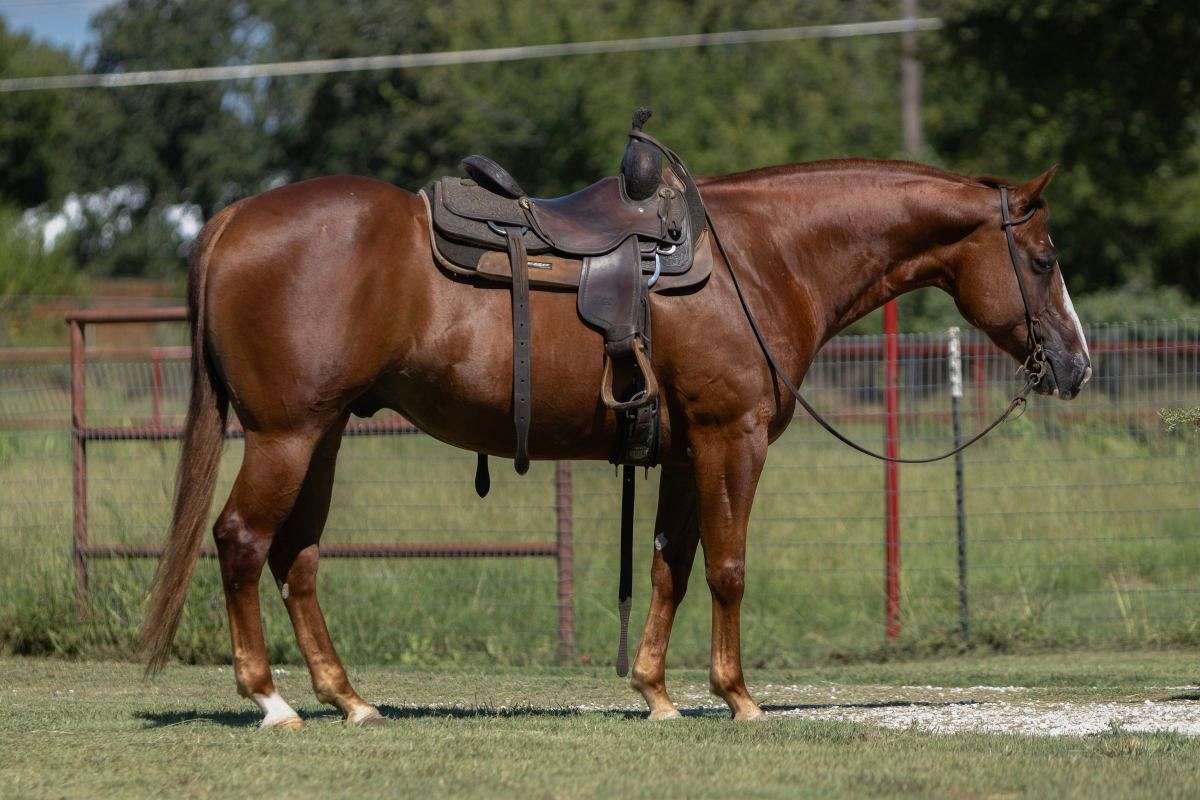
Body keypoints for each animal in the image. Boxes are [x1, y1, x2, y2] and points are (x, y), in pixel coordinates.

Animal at [138, 157, 1090, 727]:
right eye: (1044, 259)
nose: (1076, 365)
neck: (760, 259)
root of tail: (233, 221)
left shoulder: (683, 452)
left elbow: (672, 563)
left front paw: (656, 692)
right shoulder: (733, 439)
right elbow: (728, 568)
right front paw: (738, 697)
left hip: (324, 434)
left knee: (295, 555)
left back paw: (349, 699)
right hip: (285, 435)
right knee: (242, 541)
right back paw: (271, 702)